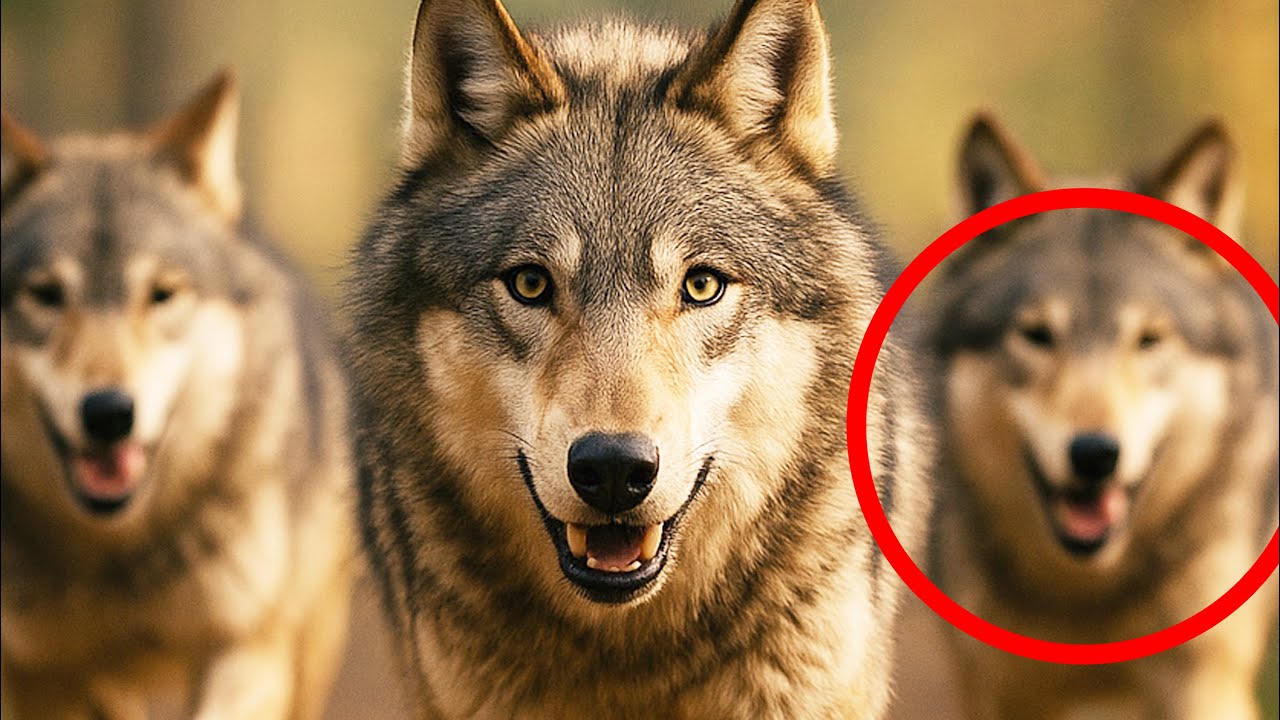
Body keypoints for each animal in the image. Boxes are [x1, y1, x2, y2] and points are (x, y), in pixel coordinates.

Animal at [1, 73, 356, 719]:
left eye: (163, 293)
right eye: (44, 294)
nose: (108, 413)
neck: (119, 555)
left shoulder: (245, 648)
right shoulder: (36, 677)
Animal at [921, 112, 1279, 720]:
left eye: (1150, 339)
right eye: (1036, 335)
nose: (1094, 455)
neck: (1088, 597)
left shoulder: (1205, 686)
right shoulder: (996, 691)